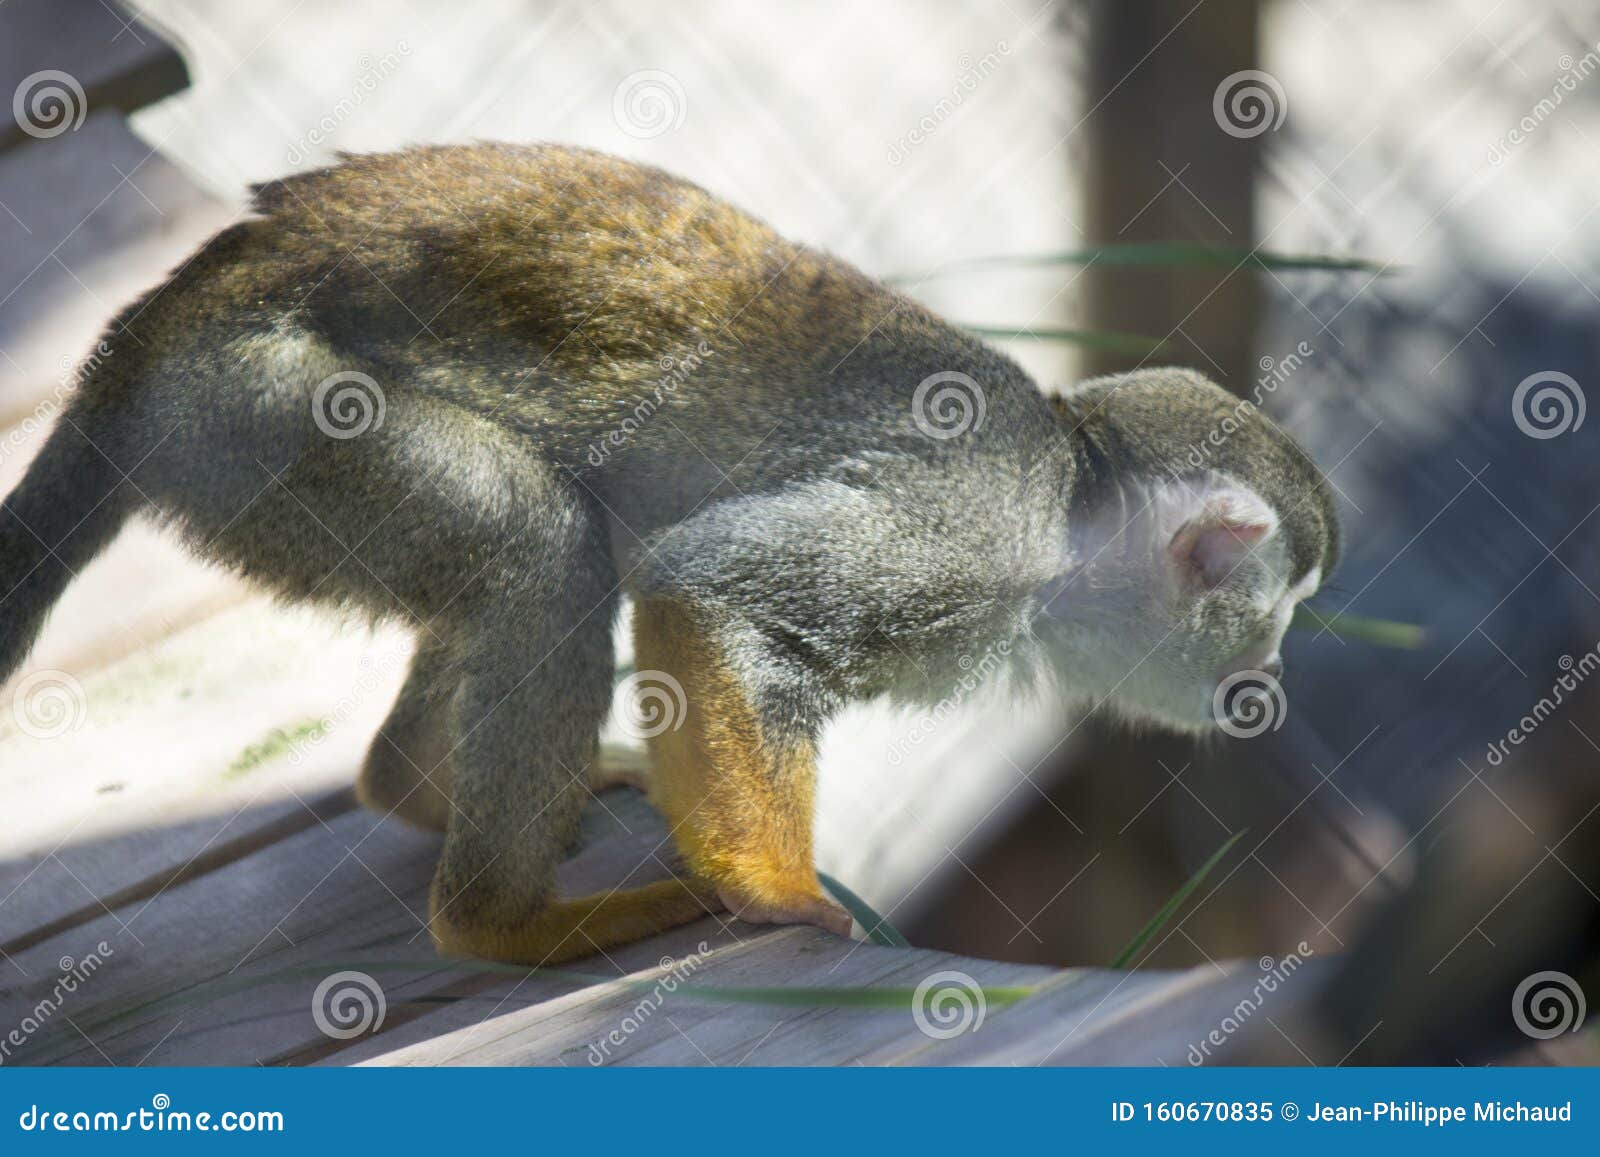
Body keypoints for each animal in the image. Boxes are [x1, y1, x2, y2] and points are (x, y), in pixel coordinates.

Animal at [0, 143, 1338, 966]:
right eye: (1275, 613)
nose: (1266, 679)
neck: (1067, 510)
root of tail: (152, 324)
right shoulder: (965, 528)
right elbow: (712, 585)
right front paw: (778, 892)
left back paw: (414, 785)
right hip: (254, 411)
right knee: (544, 546)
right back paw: (500, 924)